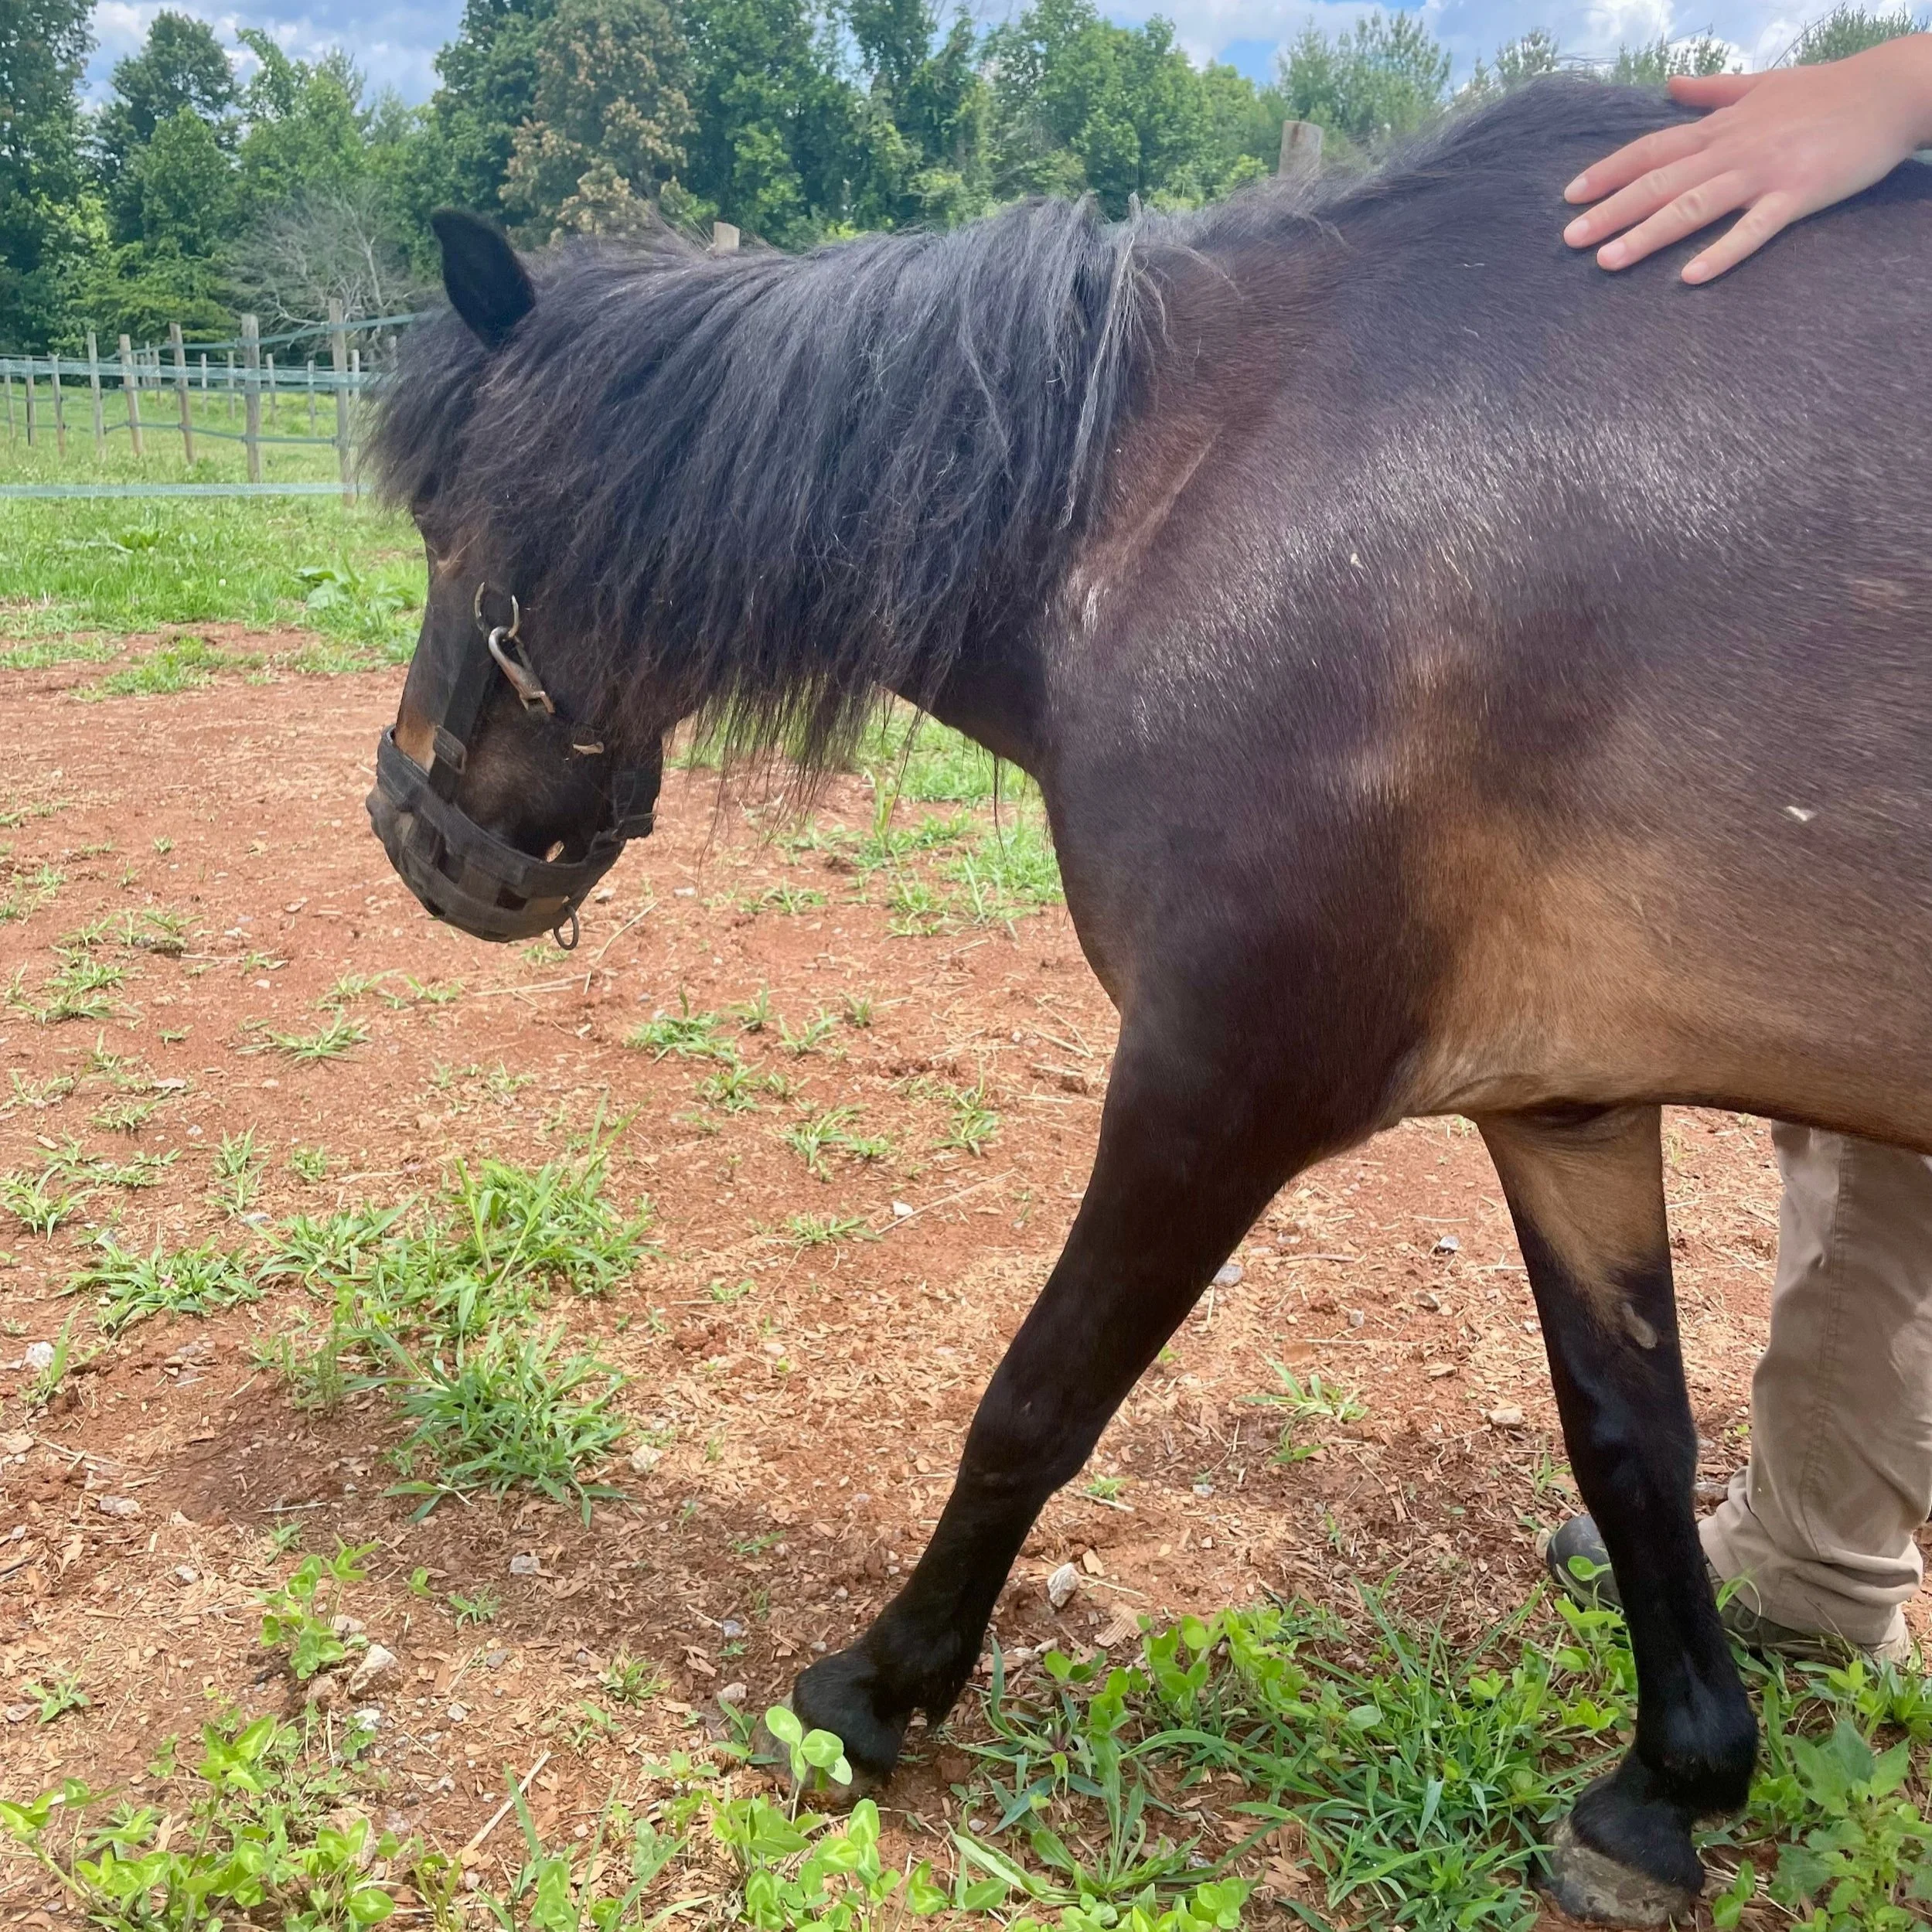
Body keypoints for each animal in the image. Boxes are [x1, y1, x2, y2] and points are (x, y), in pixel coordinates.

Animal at [364, 75, 1932, 1926]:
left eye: (447, 526)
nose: (414, 830)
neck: (1190, 494)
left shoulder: (1215, 1081)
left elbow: (1034, 1401)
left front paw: (873, 1688)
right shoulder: (1564, 1107)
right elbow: (1627, 1437)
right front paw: (1668, 1786)